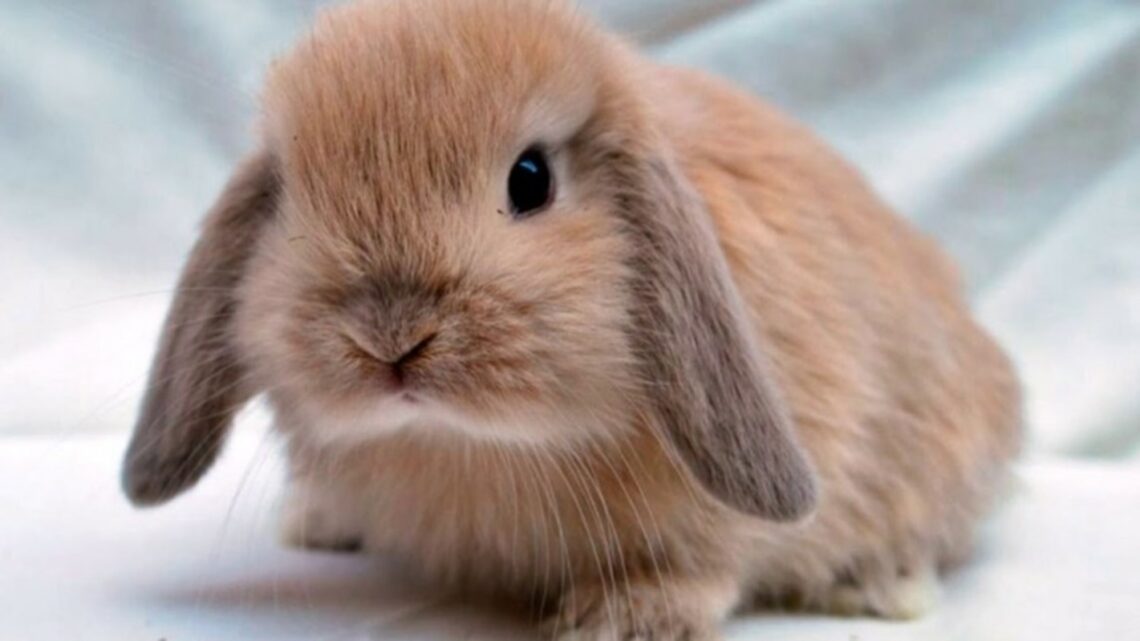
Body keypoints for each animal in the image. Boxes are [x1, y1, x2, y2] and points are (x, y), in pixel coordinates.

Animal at [120, 1, 1022, 639]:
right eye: (289, 197)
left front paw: (624, 617)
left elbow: (717, 557)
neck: (466, 446)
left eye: (530, 179)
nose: (390, 339)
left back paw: (885, 585)